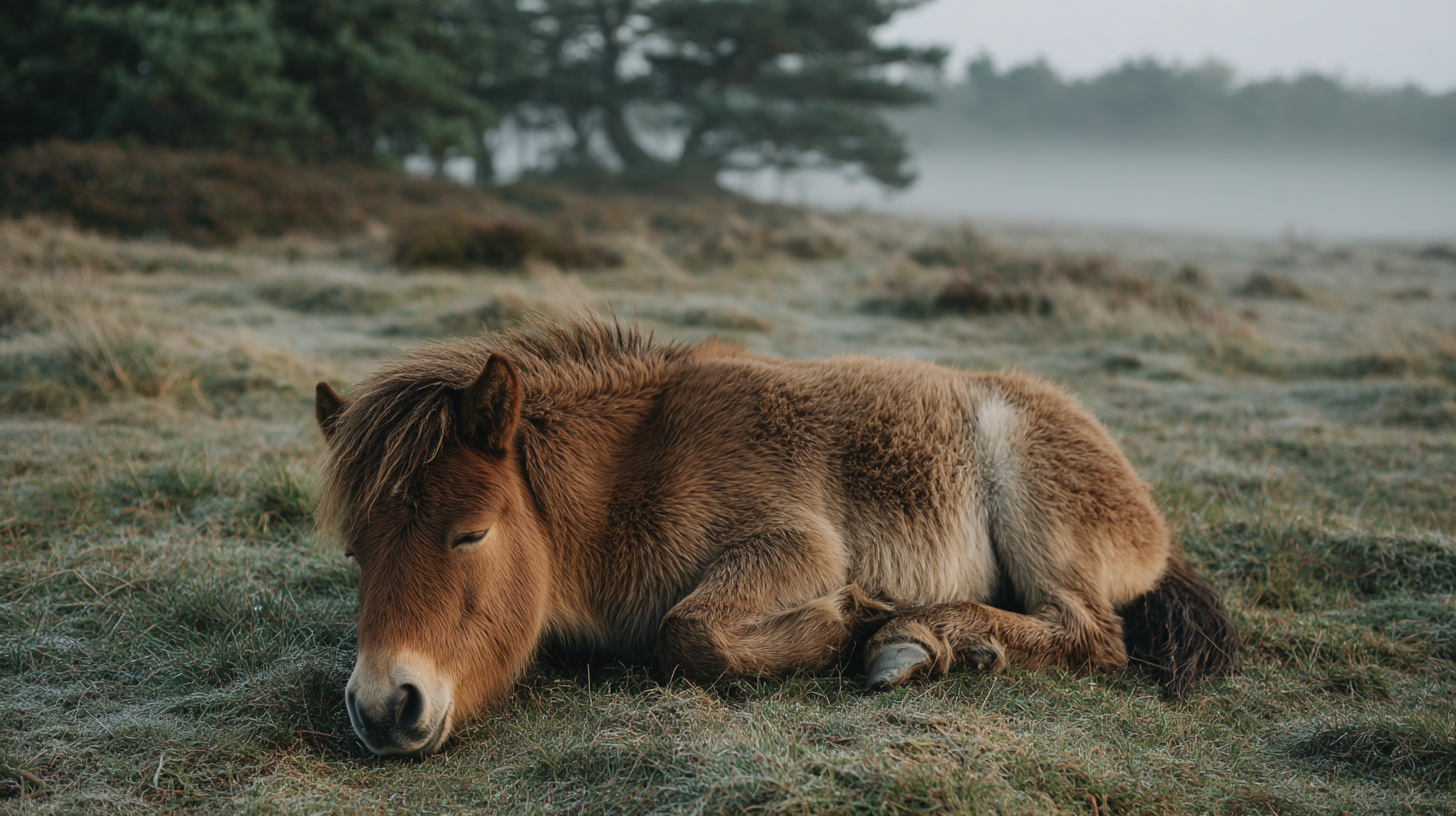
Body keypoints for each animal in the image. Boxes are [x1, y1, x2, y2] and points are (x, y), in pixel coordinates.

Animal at [314, 318, 1237, 757]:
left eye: (469, 534)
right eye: (356, 552)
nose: (384, 706)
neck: (634, 470)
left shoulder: (797, 550)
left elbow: (685, 632)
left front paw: (853, 623)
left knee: (1091, 635)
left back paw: (923, 639)